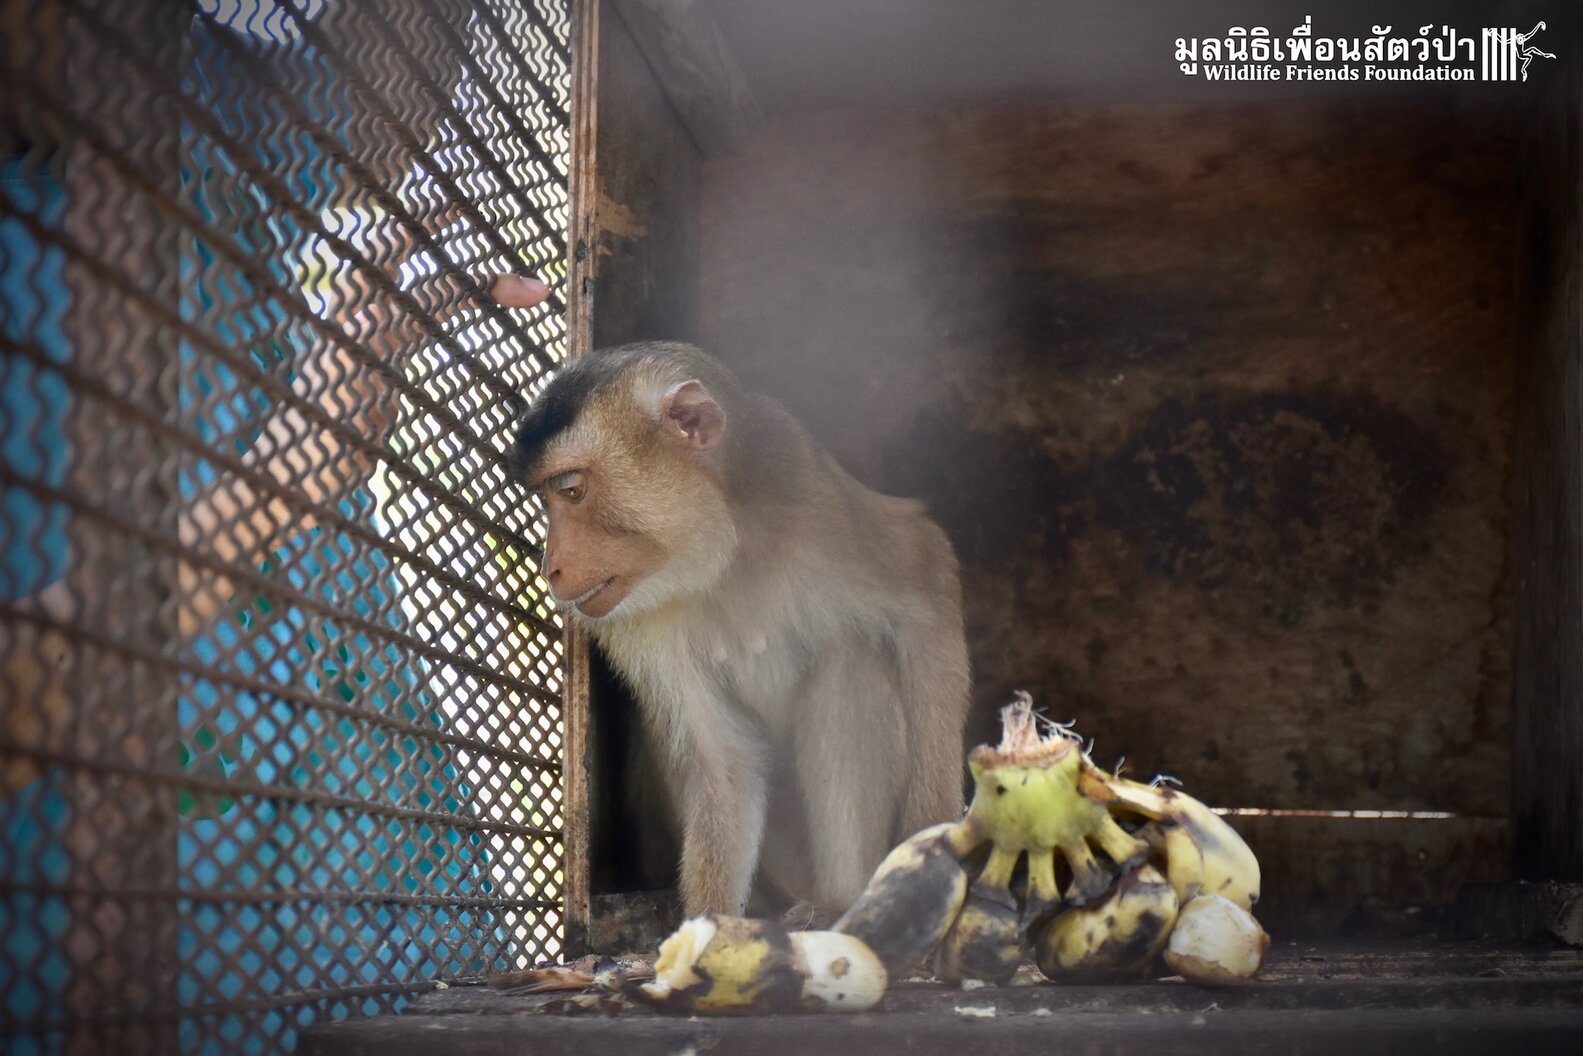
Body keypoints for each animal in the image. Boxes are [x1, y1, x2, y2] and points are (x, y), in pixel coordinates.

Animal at [512, 340, 971, 919]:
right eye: (547, 498)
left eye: (571, 490)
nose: (550, 567)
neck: (719, 561)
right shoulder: (636, 624)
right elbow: (722, 761)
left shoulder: (815, 508)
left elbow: (927, 590)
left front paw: (931, 839)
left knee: (850, 662)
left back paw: (840, 901)